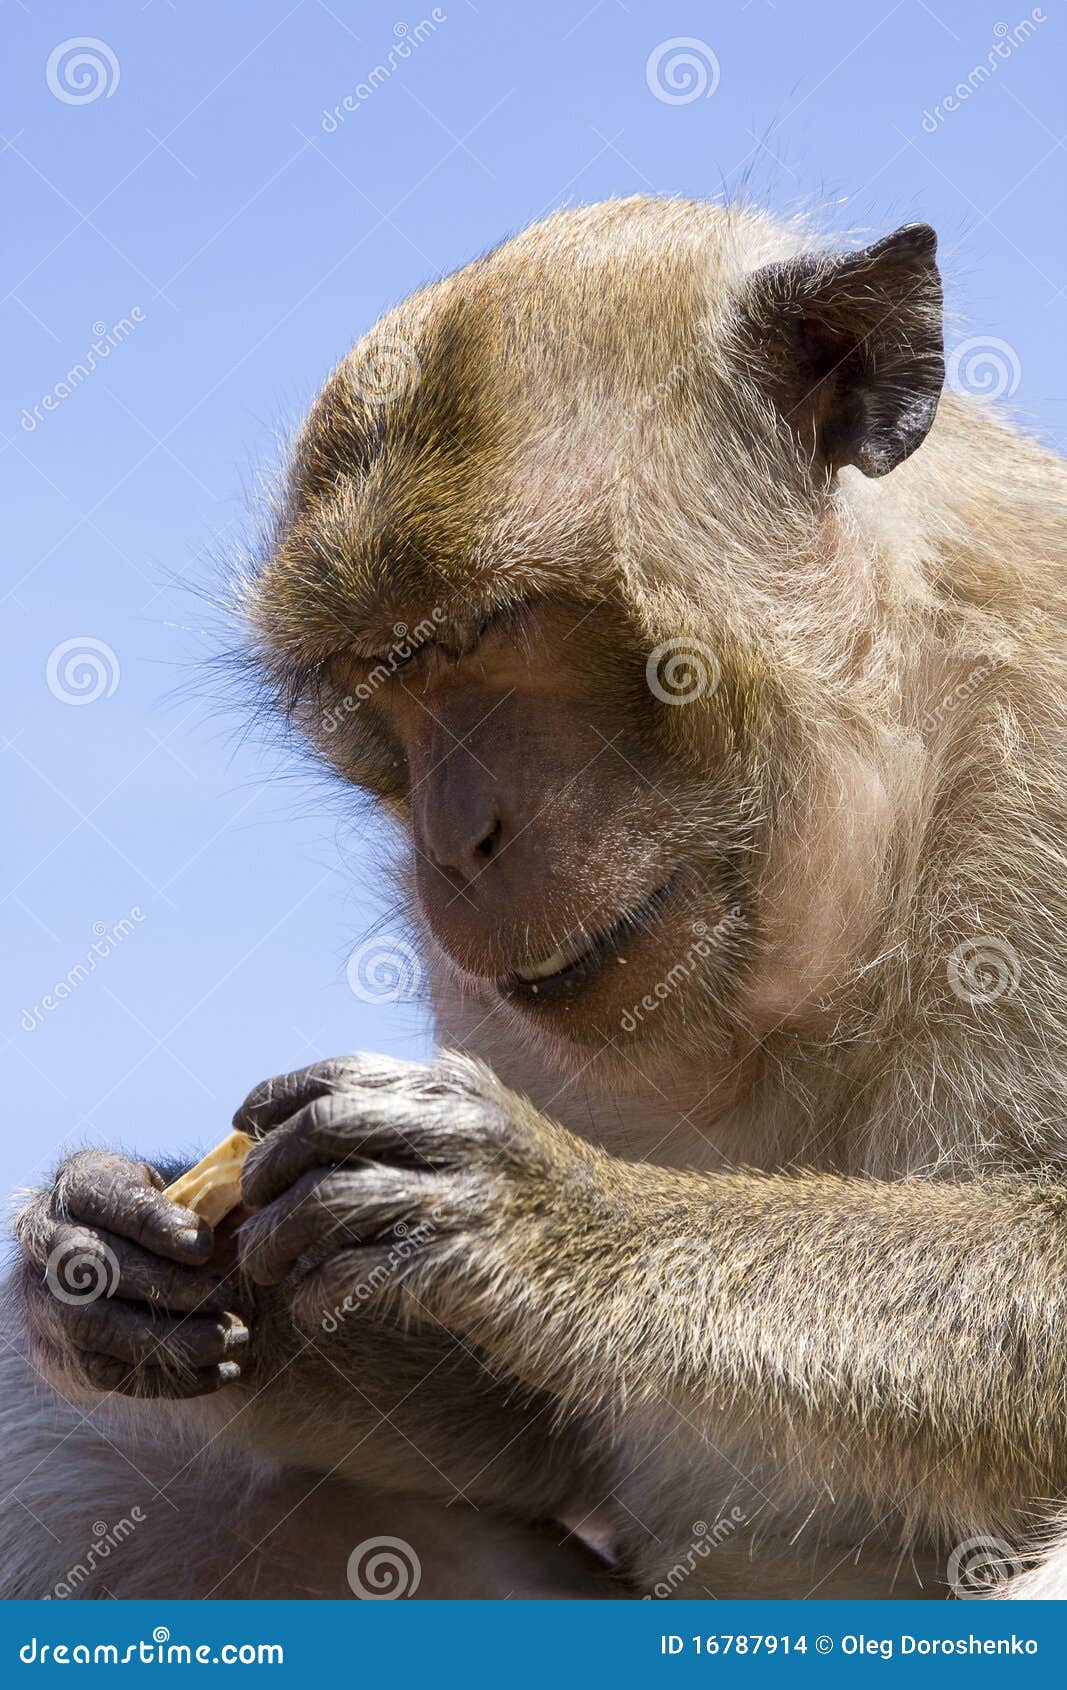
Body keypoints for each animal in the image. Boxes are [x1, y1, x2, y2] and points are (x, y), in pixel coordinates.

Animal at [3, 194, 1066, 1601]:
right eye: (380, 675)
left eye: (490, 629)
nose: (454, 842)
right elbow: (535, 1425)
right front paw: (92, 1245)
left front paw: (548, 1218)